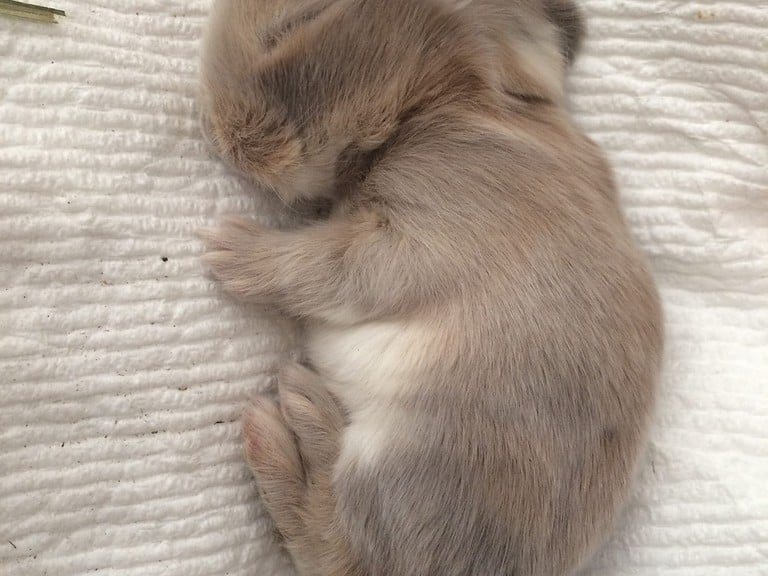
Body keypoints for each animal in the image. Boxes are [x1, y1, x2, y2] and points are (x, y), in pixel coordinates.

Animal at [199, 1, 663, 575]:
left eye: (297, 23)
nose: (218, 130)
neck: (449, 99)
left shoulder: (420, 237)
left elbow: (328, 263)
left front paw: (231, 249)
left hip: (403, 461)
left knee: (332, 537)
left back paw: (291, 415)